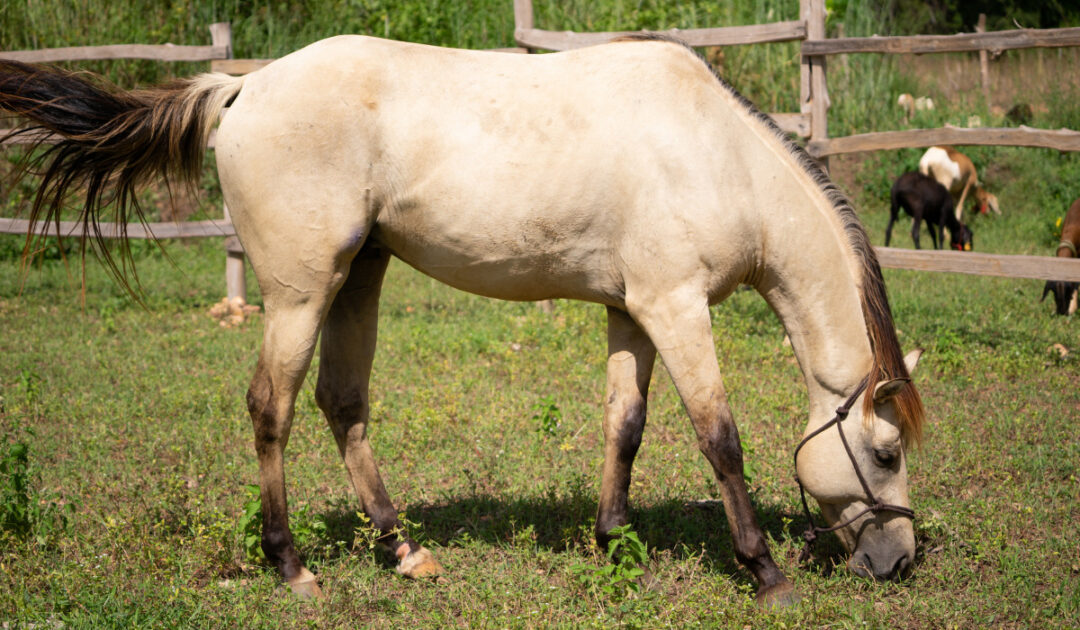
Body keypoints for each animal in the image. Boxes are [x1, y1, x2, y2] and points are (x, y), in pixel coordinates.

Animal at [0, 34, 926, 607]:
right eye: (884, 454)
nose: (899, 561)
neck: (716, 154)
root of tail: (242, 86)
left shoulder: (634, 311)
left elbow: (625, 425)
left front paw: (614, 541)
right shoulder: (677, 308)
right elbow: (719, 437)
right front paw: (765, 572)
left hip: (359, 275)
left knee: (343, 403)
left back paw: (403, 550)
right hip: (301, 293)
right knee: (274, 407)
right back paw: (292, 566)